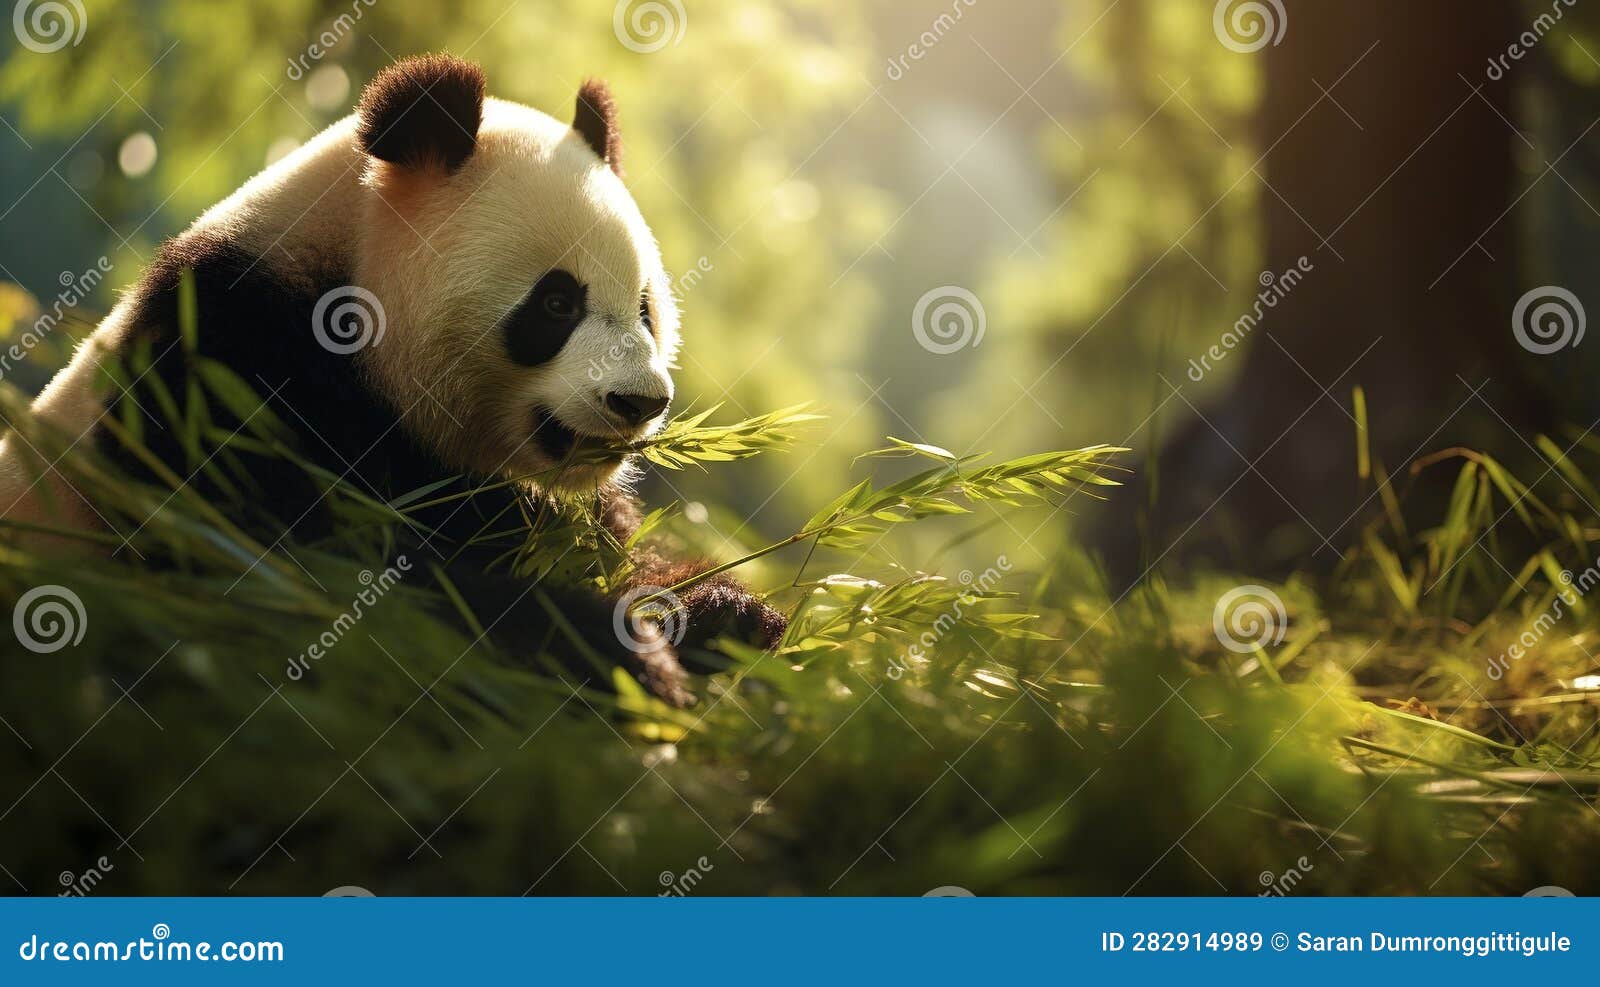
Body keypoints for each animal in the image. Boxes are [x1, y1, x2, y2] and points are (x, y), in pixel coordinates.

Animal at [0, 54, 785, 705]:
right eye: (557, 303)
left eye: (646, 307)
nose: (636, 402)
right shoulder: (218, 367)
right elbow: (286, 569)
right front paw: (623, 652)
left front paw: (729, 615)